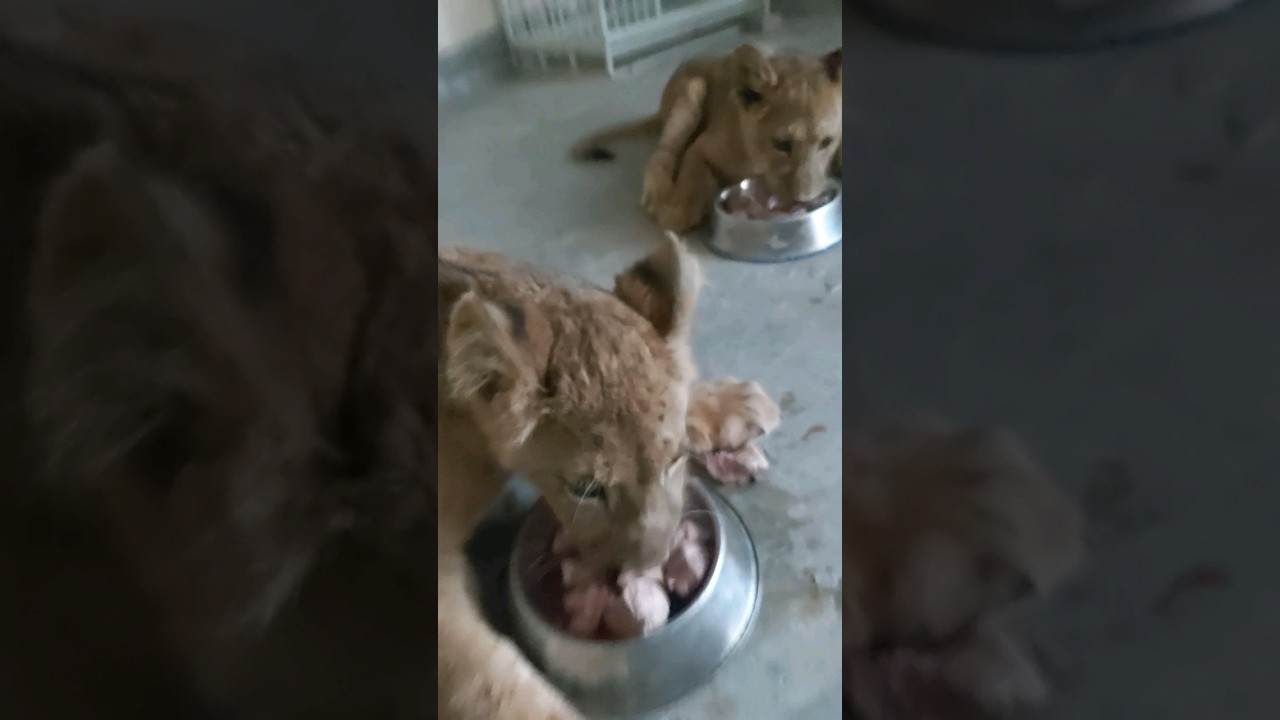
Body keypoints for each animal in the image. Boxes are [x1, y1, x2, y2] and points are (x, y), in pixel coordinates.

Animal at [571, 44, 843, 233]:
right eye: (781, 144)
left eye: (826, 142)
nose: (804, 201)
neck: (760, 162)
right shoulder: (701, 146)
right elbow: (687, 193)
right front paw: (674, 207)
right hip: (692, 90)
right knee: (661, 153)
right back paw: (657, 191)